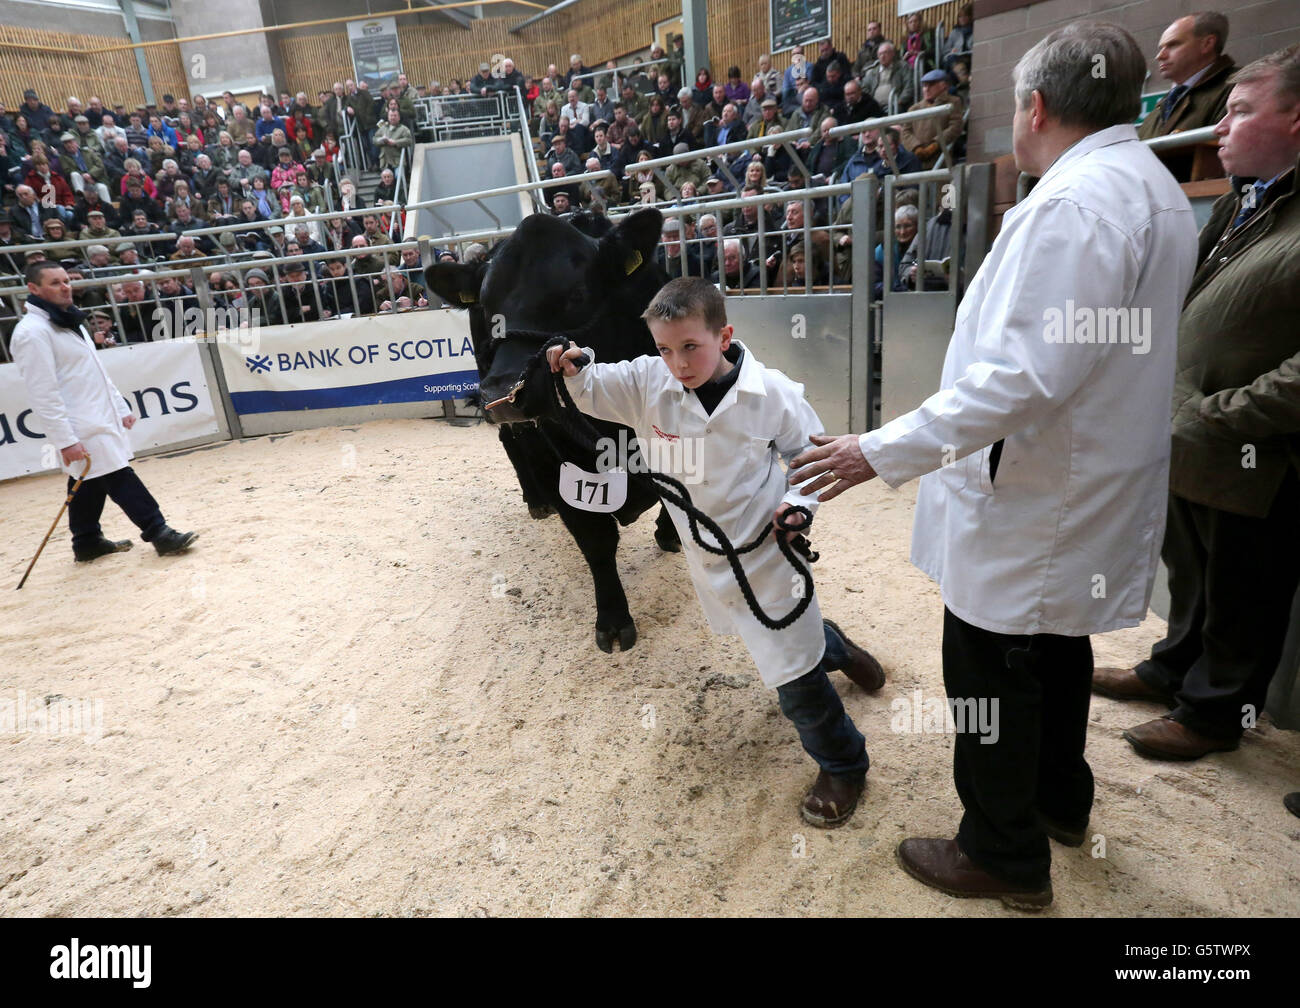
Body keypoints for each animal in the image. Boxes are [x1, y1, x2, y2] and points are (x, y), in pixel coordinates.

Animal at [425, 208, 682, 652]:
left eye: (576, 295)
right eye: (487, 309)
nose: (502, 393)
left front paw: (670, 533)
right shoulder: (555, 460)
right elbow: (595, 541)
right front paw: (613, 621)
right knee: (509, 439)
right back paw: (535, 500)